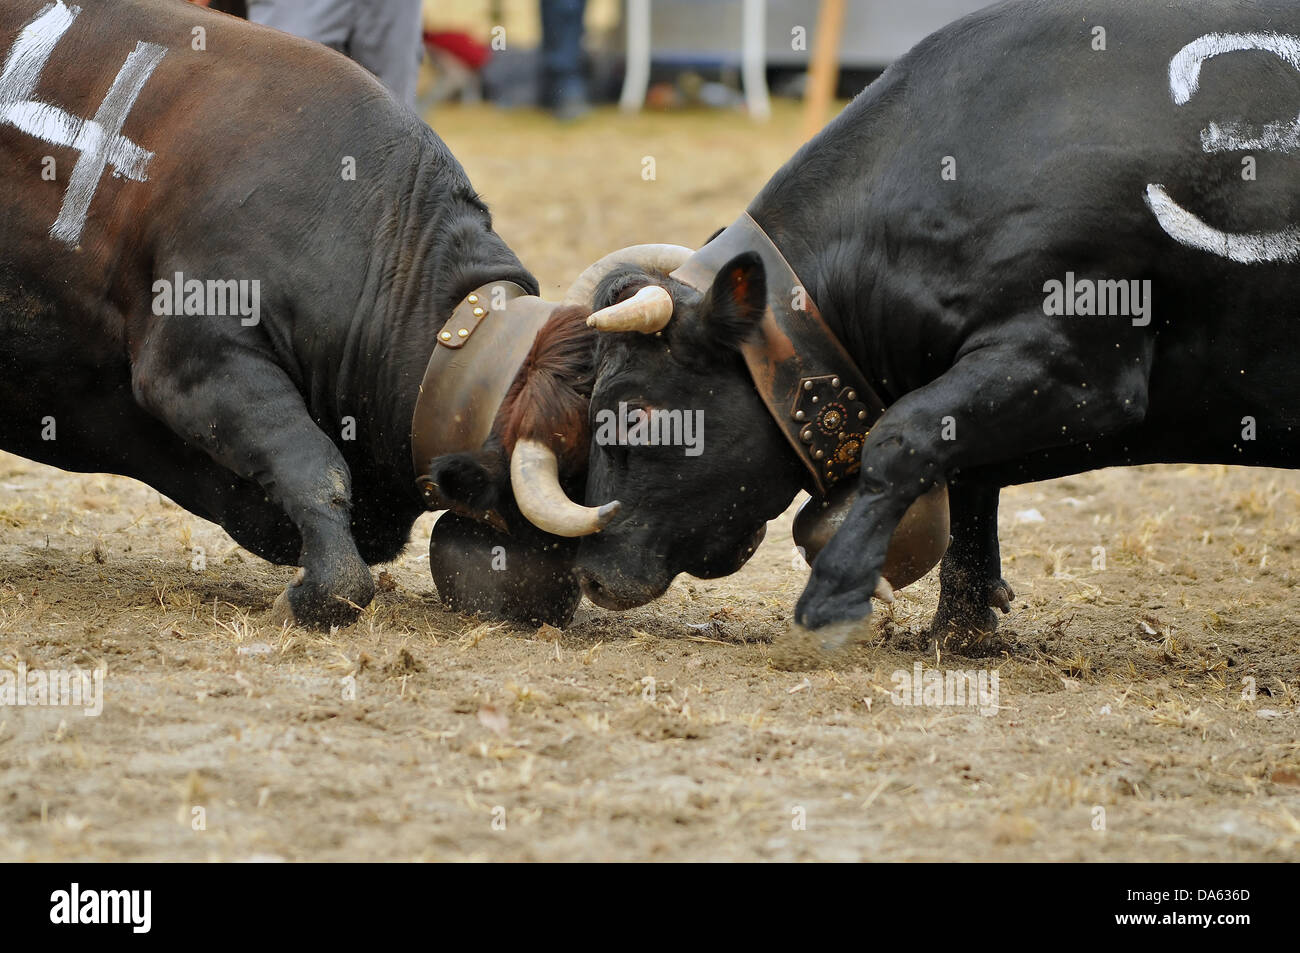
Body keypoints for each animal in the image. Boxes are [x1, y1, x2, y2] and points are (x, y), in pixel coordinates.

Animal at [505, 0, 1300, 653]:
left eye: (634, 413)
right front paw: (963, 626)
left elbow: (903, 436)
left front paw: (832, 595)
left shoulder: (1080, 365)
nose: (593, 576)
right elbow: (966, 471)